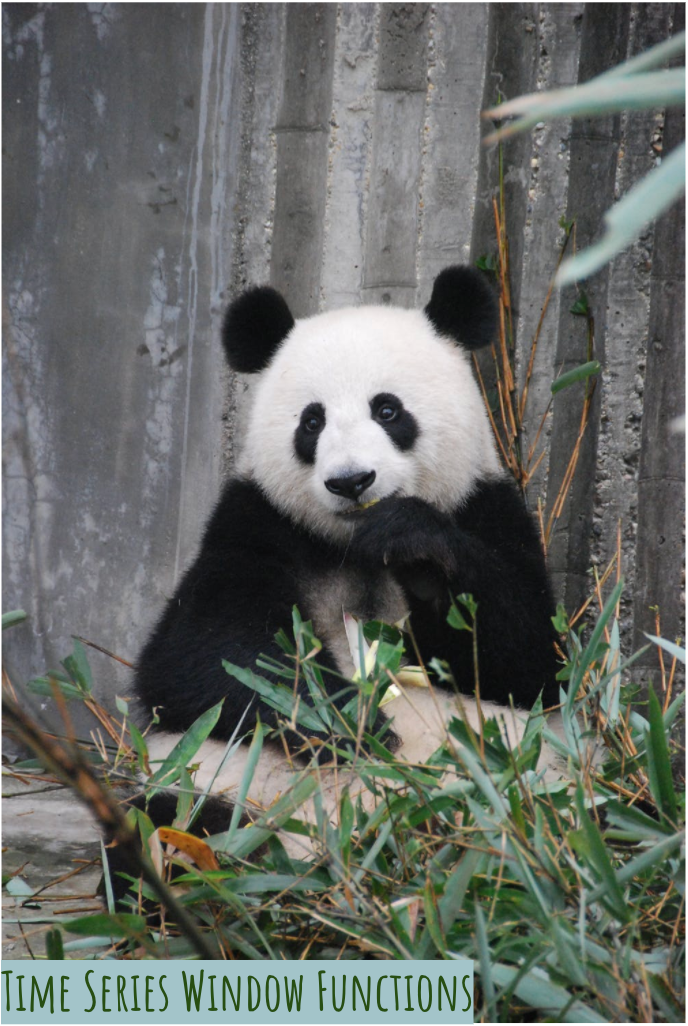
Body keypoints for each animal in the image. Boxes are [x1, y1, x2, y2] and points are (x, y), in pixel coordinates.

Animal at [131, 266, 562, 861]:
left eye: (388, 409)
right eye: (312, 422)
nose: (352, 481)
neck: (354, 544)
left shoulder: (485, 508)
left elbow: (529, 660)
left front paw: (417, 550)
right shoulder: (255, 524)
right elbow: (200, 658)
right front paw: (353, 722)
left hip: (525, 792)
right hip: (207, 781)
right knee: (165, 824)